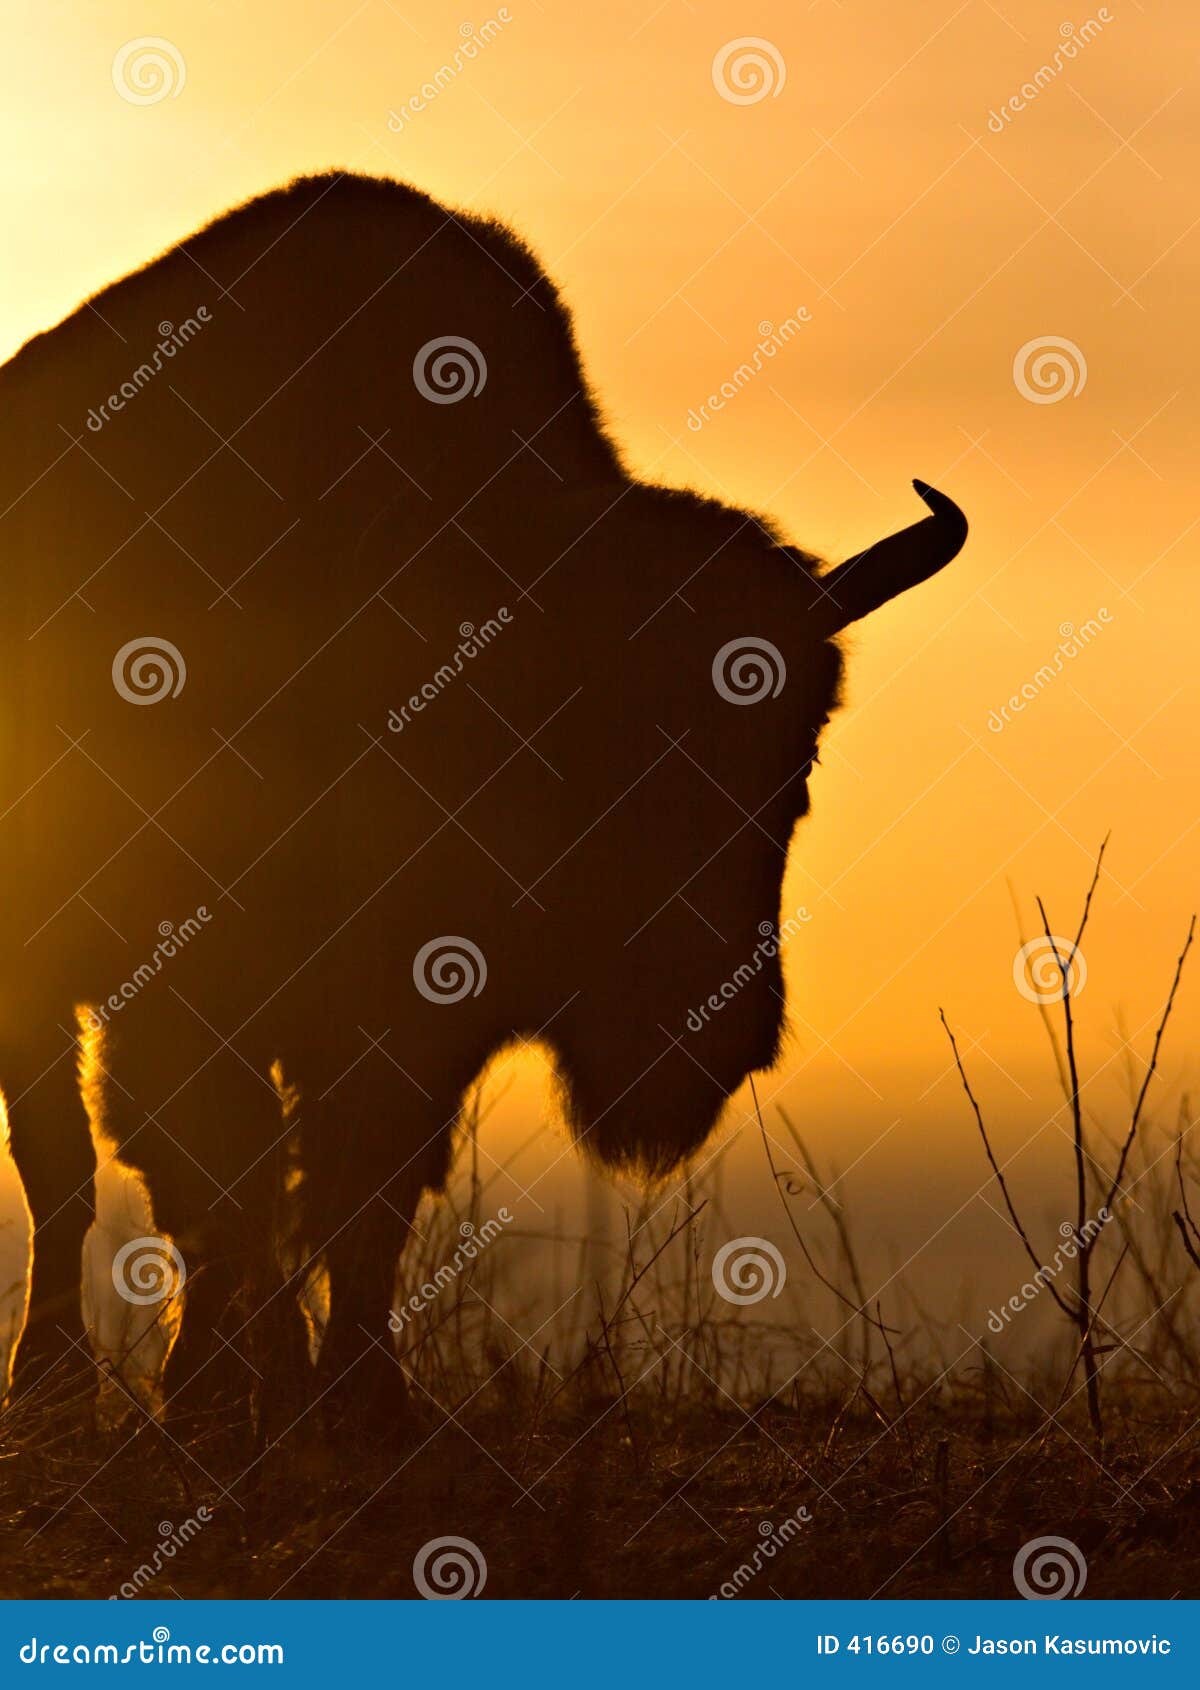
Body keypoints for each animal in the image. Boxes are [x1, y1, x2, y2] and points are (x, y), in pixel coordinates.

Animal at [0, 171, 966, 1428]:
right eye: (594, 746)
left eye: (793, 764)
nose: (714, 1028)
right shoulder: (181, 980)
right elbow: (222, 1173)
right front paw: (214, 1391)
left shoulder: (421, 1016)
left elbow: (361, 1184)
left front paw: (364, 1394)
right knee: (61, 1167)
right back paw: (55, 1382)